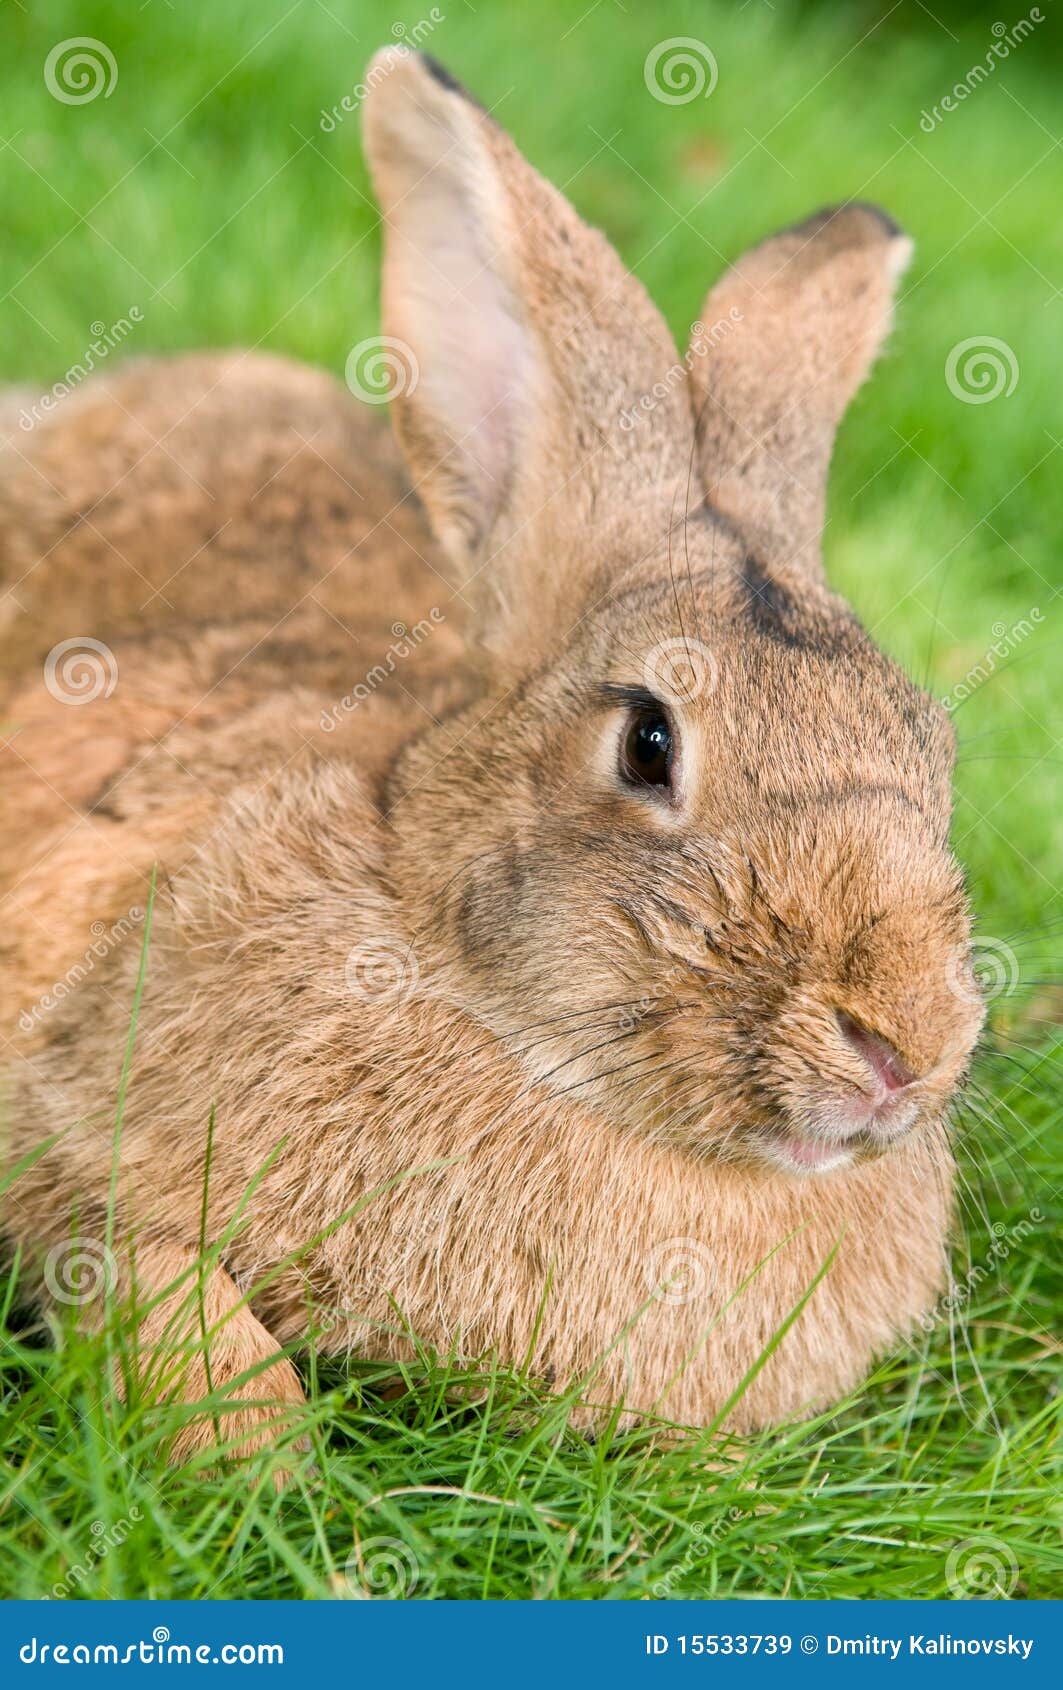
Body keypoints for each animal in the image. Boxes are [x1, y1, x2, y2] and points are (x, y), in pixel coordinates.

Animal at [0, 48, 985, 1470]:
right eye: (647, 742)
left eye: (935, 750)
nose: (904, 1046)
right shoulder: (65, 1144)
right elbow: (166, 1293)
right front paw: (266, 1469)